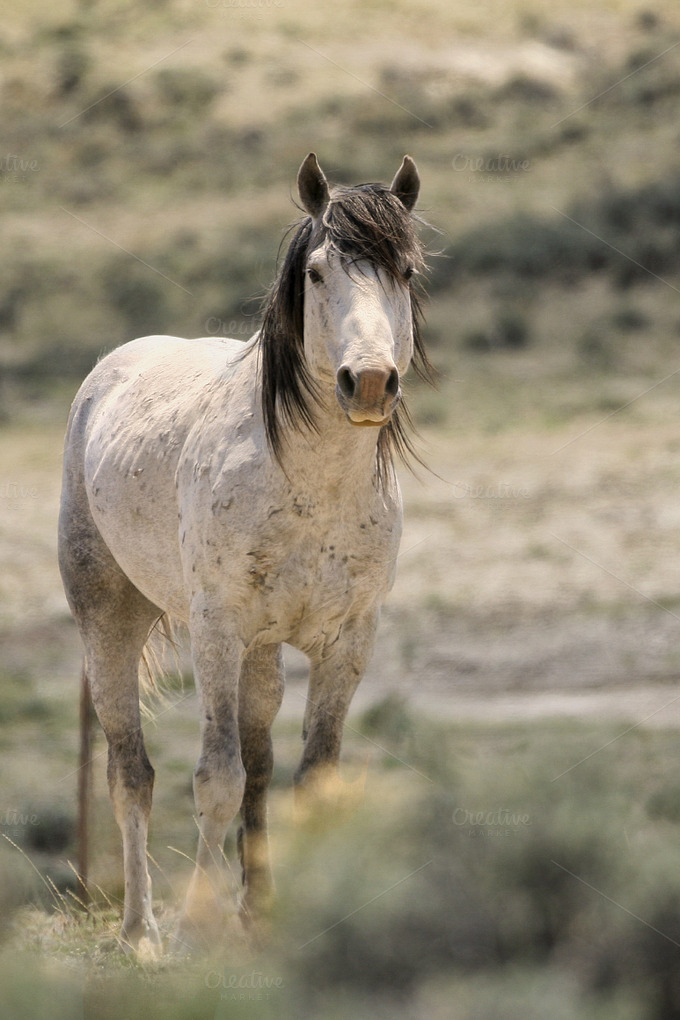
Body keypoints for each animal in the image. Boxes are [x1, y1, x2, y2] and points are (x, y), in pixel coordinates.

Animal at [58, 153, 432, 955]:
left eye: (407, 272)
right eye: (318, 272)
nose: (370, 382)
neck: (312, 482)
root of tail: (110, 370)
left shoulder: (347, 640)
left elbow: (306, 779)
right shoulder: (217, 631)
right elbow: (216, 778)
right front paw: (198, 928)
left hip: (262, 651)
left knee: (258, 763)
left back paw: (254, 909)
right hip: (110, 622)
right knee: (131, 773)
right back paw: (141, 931)